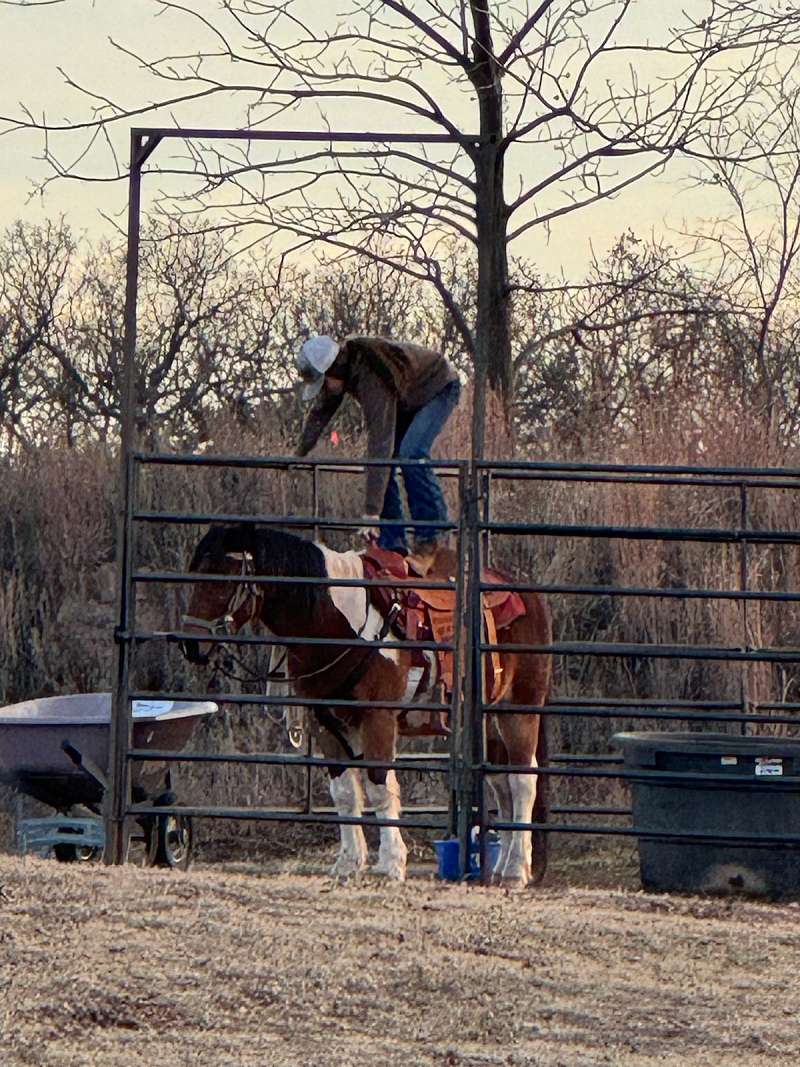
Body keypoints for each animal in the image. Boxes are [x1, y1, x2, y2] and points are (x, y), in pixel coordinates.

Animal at [180, 523, 552, 886]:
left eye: (224, 577)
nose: (191, 645)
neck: (335, 622)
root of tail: (524, 594)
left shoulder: (377, 719)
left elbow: (378, 786)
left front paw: (390, 864)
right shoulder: (326, 722)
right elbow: (344, 791)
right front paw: (348, 863)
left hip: (519, 710)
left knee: (522, 782)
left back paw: (515, 869)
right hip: (487, 720)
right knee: (501, 784)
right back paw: (501, 868)